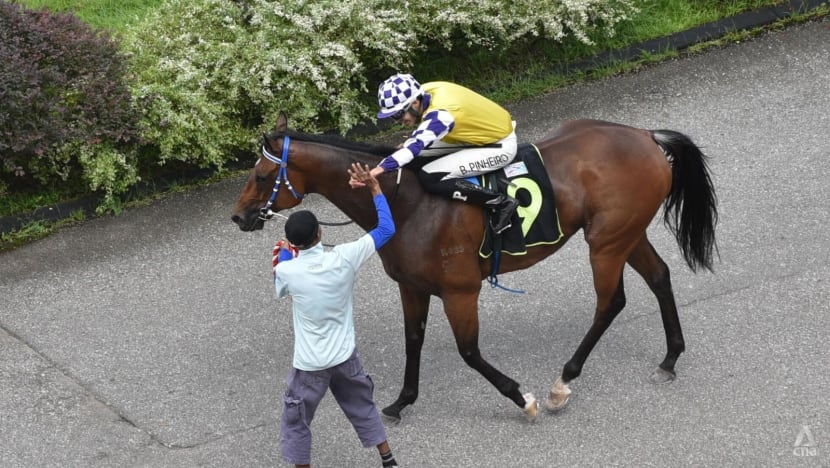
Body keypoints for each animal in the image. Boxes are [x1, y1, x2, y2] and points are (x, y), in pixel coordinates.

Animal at [231, 112, 717, 422]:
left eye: (260, 175)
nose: (238, 216)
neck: (409, 203)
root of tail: (646, 136)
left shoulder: (460, 290)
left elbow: (469, 352)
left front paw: (523, 399)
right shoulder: (412, 286)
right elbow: (413, 341)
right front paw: (401, 402)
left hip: (606, 241)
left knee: (611, 302)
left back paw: (563, 382)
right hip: (627, 233)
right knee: (659, 277)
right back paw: (670, 356)